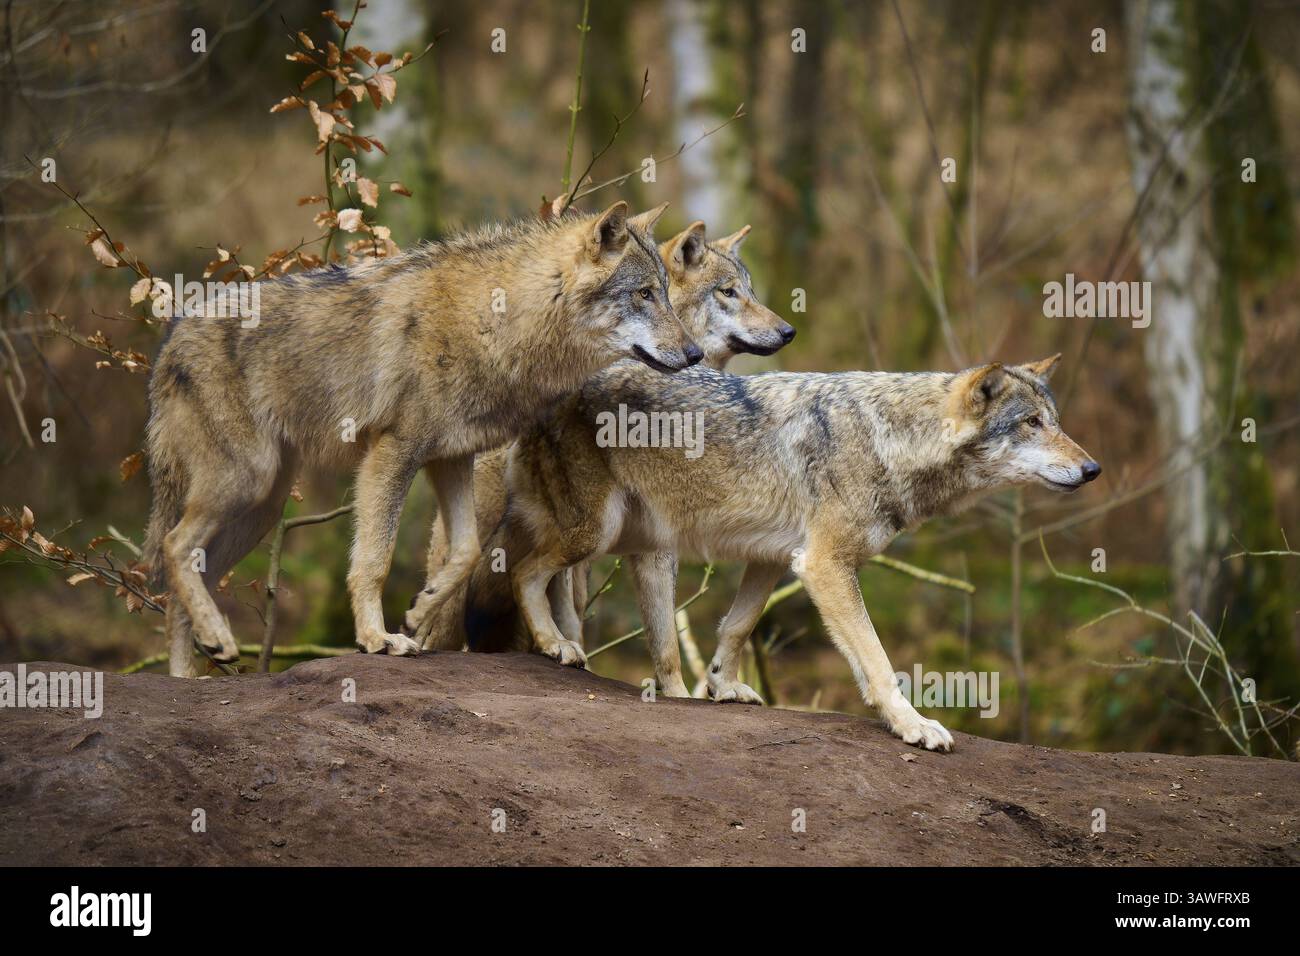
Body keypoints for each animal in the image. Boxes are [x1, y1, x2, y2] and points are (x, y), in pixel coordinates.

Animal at [141, 201, 700, 677]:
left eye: (665, 292)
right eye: (644, 294)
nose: (695, 353)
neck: (501, 319)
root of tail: (170, 340)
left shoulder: (452, 458)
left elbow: (467, 550)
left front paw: (419, 610)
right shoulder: (392, 452)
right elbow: (375, 559)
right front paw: (376, 638)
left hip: (260, 507)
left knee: (187, 581)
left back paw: (193, 669)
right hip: (247, 483)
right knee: (173, 547)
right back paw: (212, 642)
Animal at [464, 354, 1099, 750]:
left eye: (1056, 421)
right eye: (1032, 423)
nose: (1093, 469)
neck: (892, 439)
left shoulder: (776, 558)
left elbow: (737, 625)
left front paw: (722, 687)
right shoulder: (825, 566)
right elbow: (877, 661)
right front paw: (913, 725)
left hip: (645, 547)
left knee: (656, 650)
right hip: (596, 533)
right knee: (525, 572)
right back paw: (555, 645)